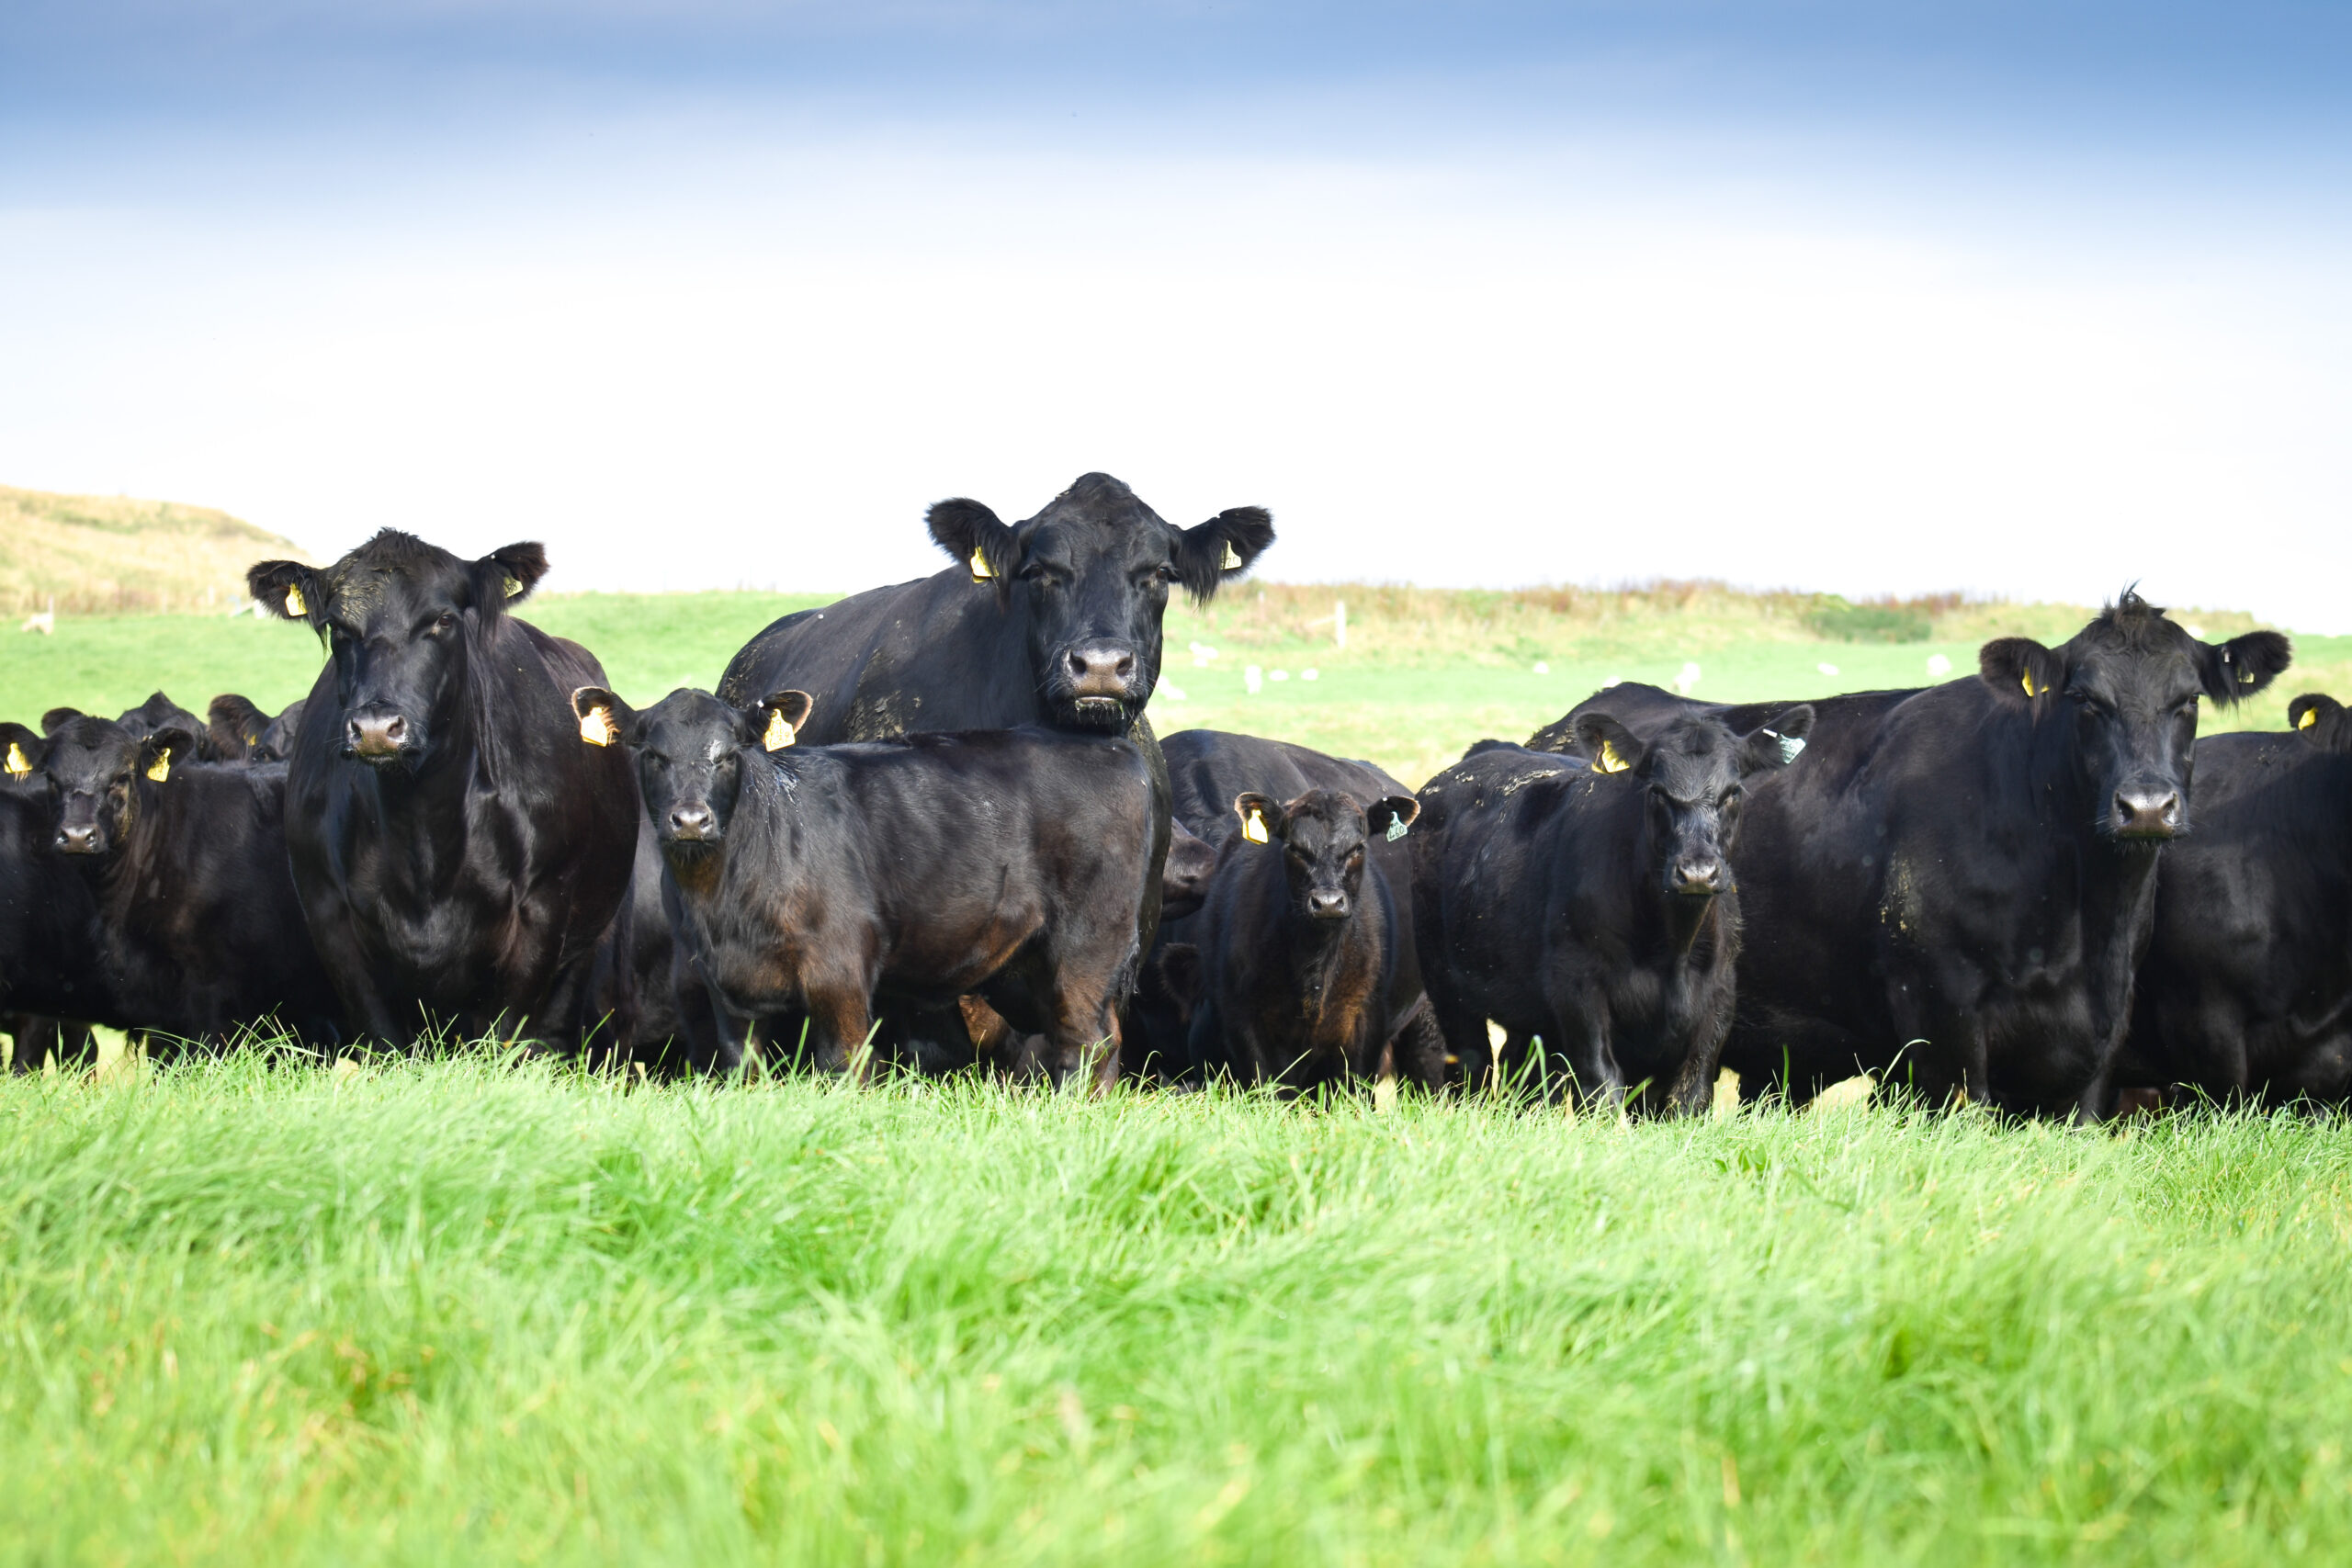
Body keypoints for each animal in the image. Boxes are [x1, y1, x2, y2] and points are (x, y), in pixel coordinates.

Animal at [246, 532, 639, 1054]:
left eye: (443, 620)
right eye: (339, 628)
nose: (377, 728)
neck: (422, 830)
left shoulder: (543, 909)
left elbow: (505, 1040)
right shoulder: (329, 915)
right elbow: (382, 1039)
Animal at [570, 685, 1156, 1089]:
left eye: (730, 754)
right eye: (652, 754)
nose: (691, 820)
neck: (726, 905)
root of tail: (1112, 748)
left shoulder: (839, 971)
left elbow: (841, 1064)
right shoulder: (724, 986)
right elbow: (743, 1067)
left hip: (1089, 942)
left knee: (1086, 1039)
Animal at [1412, 706, 1812, 1112]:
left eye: (1733, 792)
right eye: (1657, 792)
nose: (1697, 873)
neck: (1673, 950)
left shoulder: (1718, 999)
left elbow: (1691, 1095)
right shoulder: (1577, 988)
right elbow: (1601, 1087)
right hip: (1446, 983)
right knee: (1471, 1067)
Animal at [1547, 593, 2289, 1115]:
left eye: (2188, 700)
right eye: (2084, 699)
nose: (2146, 806)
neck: (2082, 922)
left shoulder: (2099, 1046)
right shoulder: (1942, 1018)